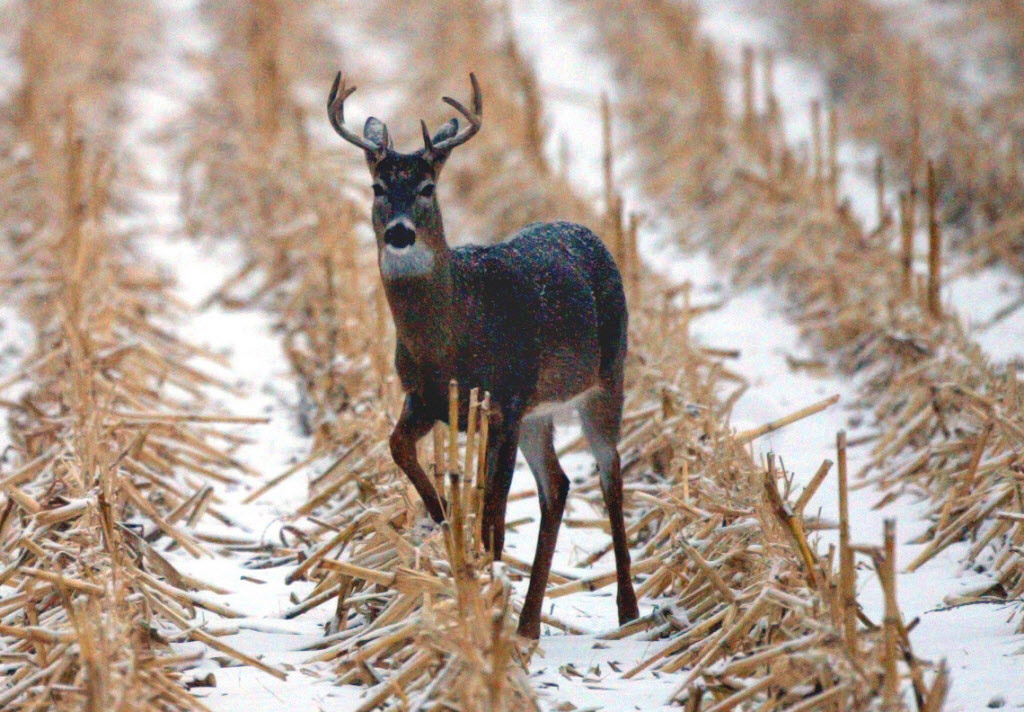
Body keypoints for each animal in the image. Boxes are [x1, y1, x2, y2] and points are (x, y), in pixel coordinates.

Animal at [327, 72, 639, 639]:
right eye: (378, 187)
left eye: (427, 188)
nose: (400, 232)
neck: (453, 339)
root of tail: (588, 232)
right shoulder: (425, 397)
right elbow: (397, 448)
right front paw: (443, 518)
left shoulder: (506, 400)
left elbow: (495, 501)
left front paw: (485, 573)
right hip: (541, 412)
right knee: (558, 486)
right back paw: (530, 623)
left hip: (607, 379)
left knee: (611, 476)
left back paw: (628, 610)